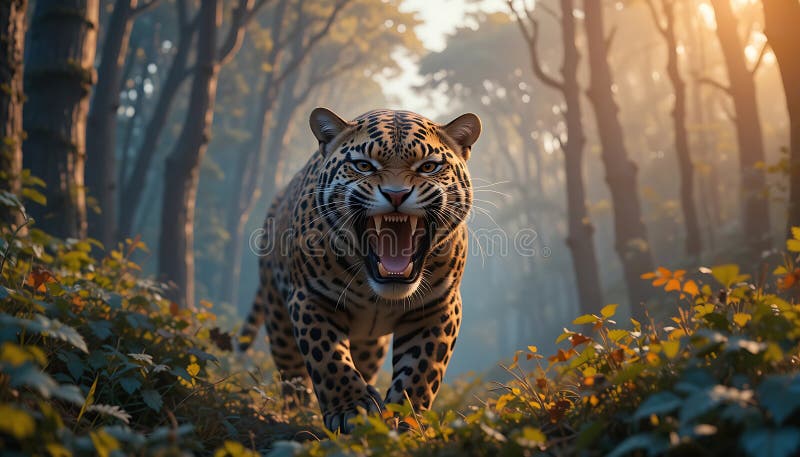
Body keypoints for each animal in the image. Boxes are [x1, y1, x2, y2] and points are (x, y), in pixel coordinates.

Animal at [238, 107, 481, 433]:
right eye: (364, 165)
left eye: (429, 166)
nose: (396, 194)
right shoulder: (311, 298)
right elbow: (328, 359)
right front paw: (349, 410)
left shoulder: (438, 307)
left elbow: (420, 372)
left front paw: (405, 422)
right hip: (277, 315)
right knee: (292, 374)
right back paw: (294, 412)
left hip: (370, 342)